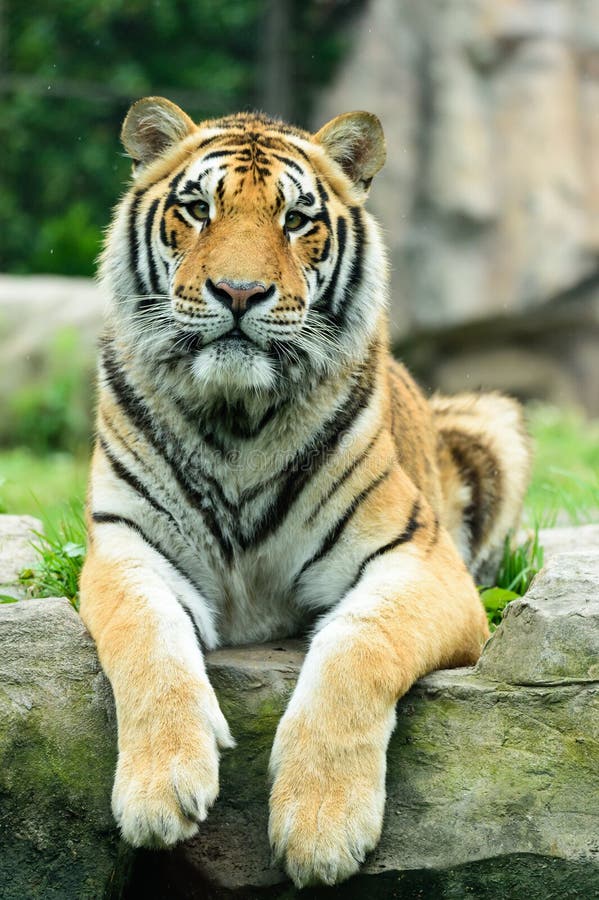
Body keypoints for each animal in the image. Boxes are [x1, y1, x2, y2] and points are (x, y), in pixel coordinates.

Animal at [79, 96, 531, 888]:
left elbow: (358, 645)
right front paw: (159, 791)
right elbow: (147, 640)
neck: (236, 418)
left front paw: (320, 827)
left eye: (295, 220)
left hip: (490, 422)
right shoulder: (126, 546)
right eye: (197, 209)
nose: (239, 293)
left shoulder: (418, 560)